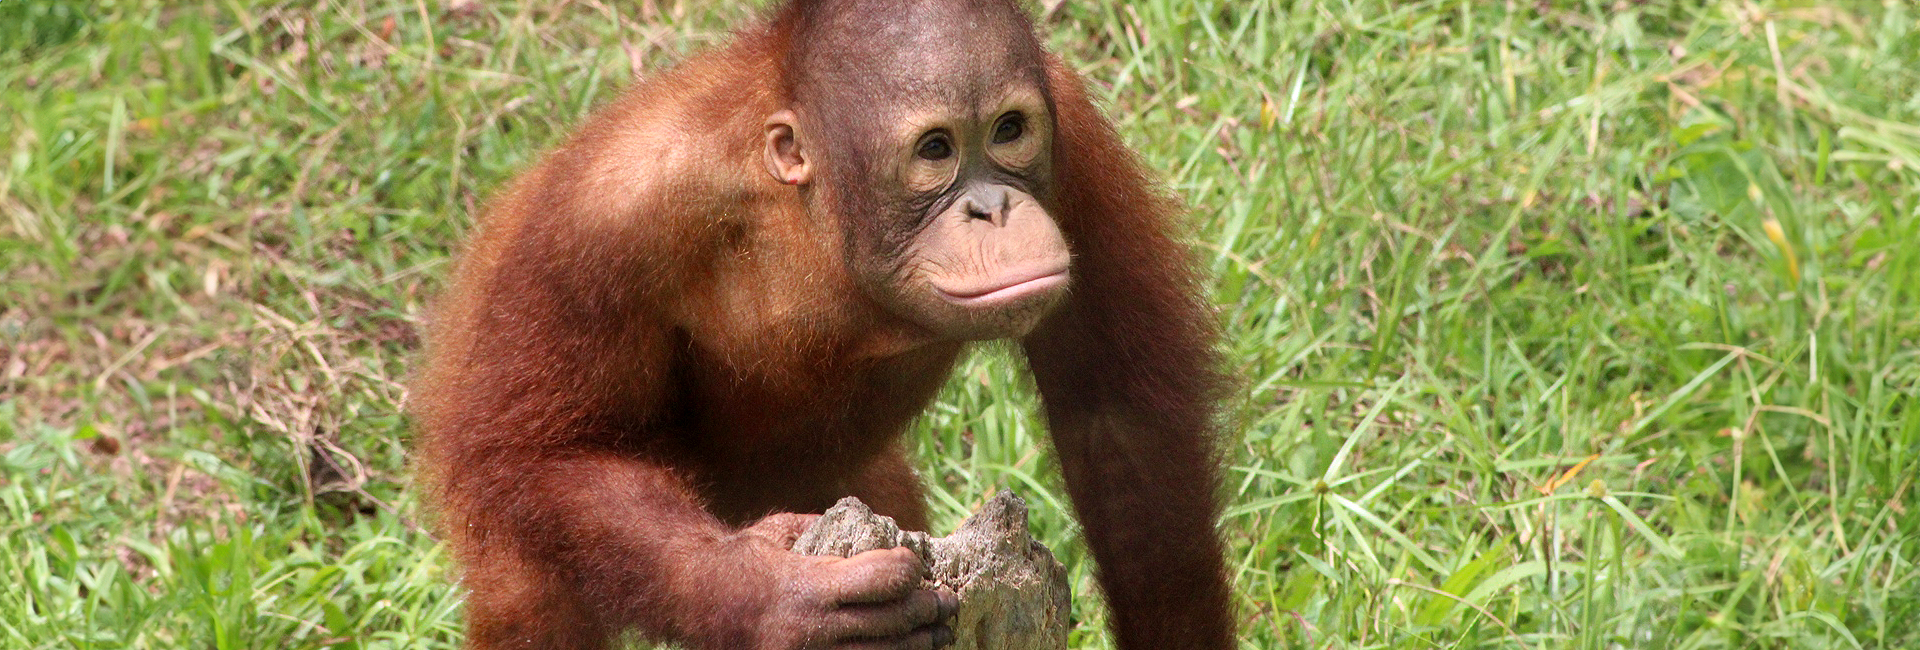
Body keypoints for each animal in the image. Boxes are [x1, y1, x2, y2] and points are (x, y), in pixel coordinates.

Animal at [412, 1, 1233, 648]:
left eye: (1008, 131)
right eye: (936, 148)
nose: (994, 207)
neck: (812, 208)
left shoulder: (1076, 144)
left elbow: (1119, 422)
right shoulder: (603, 216)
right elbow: (545, 451)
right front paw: (769, 596)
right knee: (534, 587)